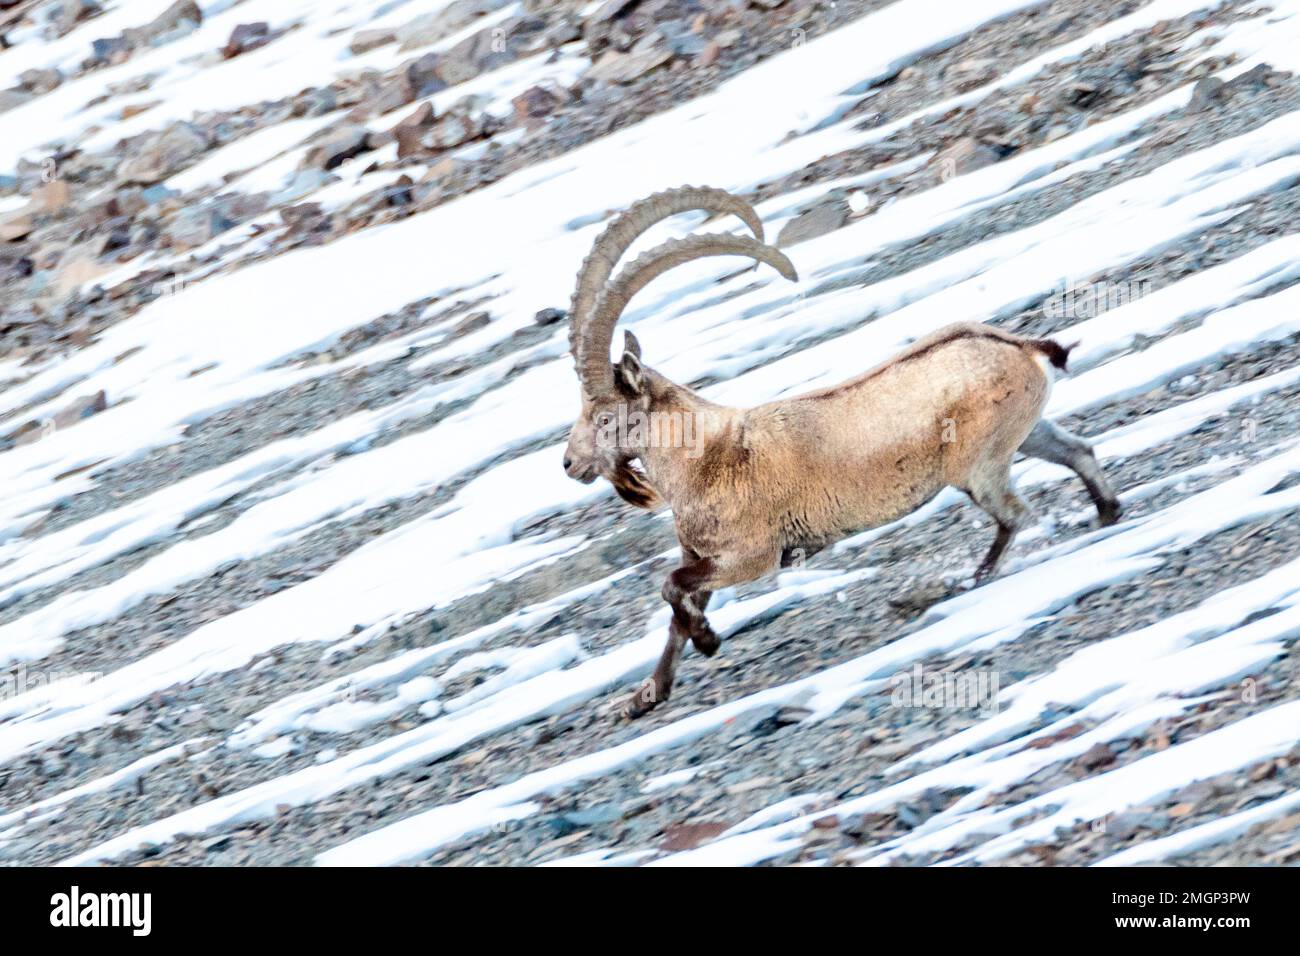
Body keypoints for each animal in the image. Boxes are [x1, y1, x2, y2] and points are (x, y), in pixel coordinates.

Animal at [562, 186, 1121, 717]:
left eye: (605, 417)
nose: (569, 464)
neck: (708, 458)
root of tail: (1017, 345)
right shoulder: (703, 556)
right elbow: (677, 609)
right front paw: (644, 697)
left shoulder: (753, 554)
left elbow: (671, 587)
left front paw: (708, 641)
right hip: (1026, 431)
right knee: (1078, 452)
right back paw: (1107, 514)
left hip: (977, 467)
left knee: (1014, 514)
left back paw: (964, 582)